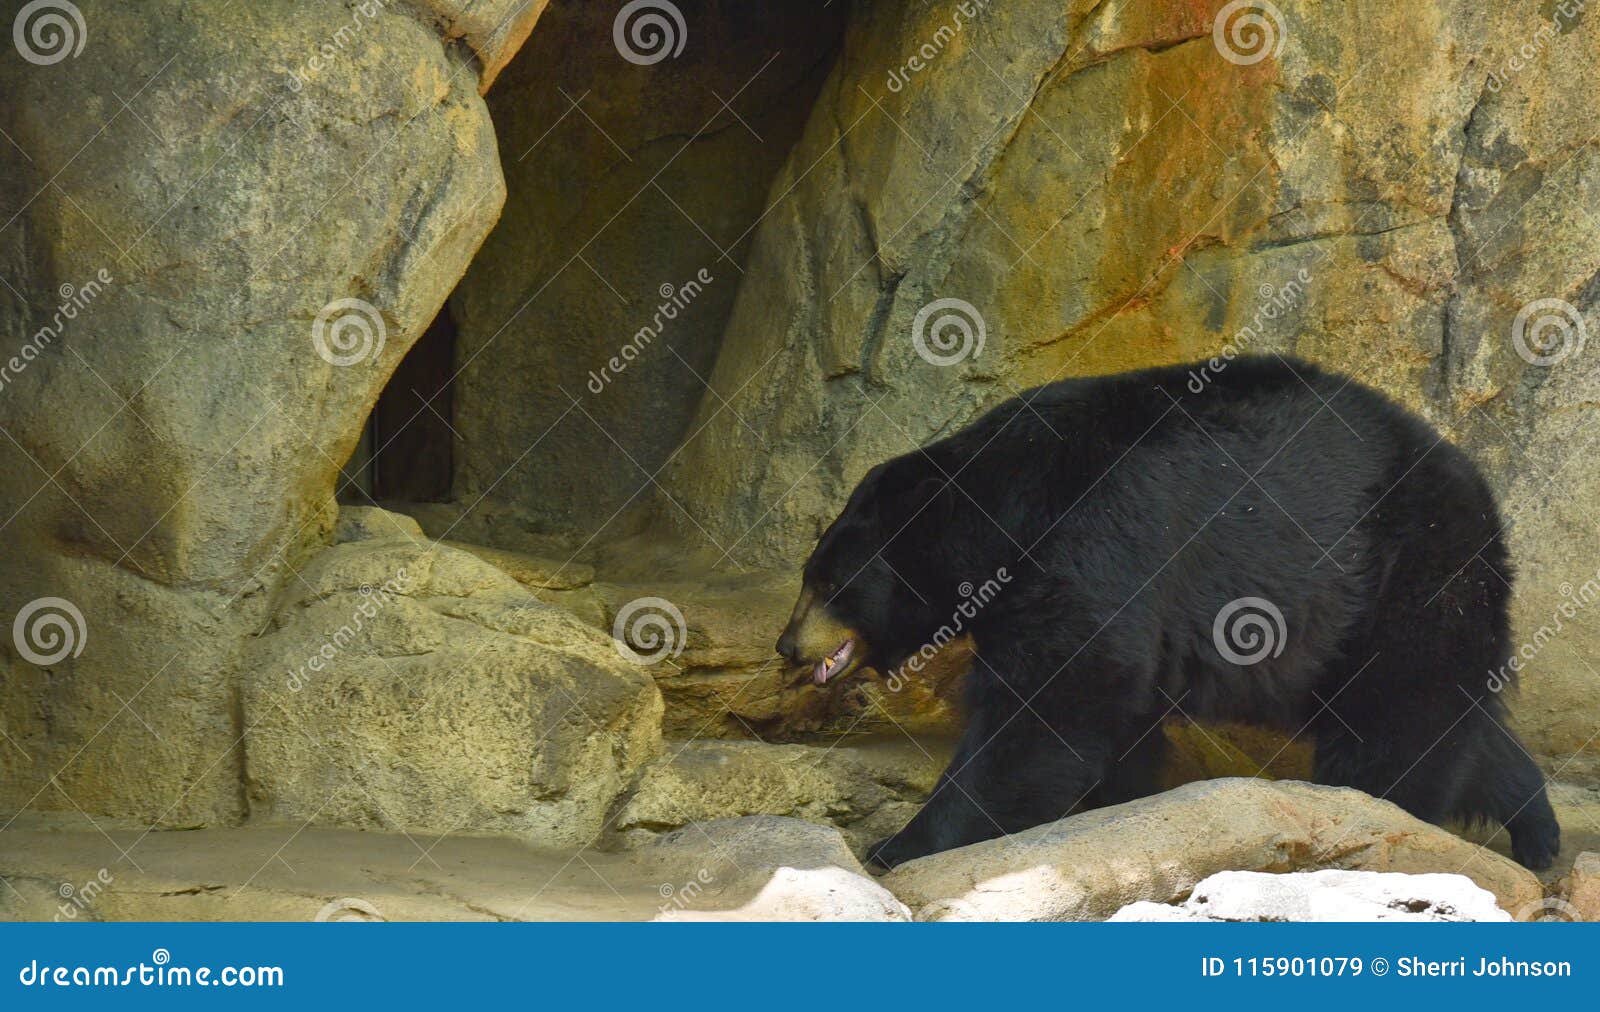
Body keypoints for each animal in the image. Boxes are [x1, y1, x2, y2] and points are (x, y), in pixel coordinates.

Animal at [775, 355, 1560, 871]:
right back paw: (1537, 830)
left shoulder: (1105, 532)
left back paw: (1374, 808)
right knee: (1457, 717)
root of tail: (1479, 490)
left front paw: (899, 843)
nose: (785, 645)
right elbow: (1111, 711)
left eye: (824, 580)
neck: (1009, 504)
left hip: (1408, 563)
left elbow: (1052, 700)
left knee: (1403, 708)